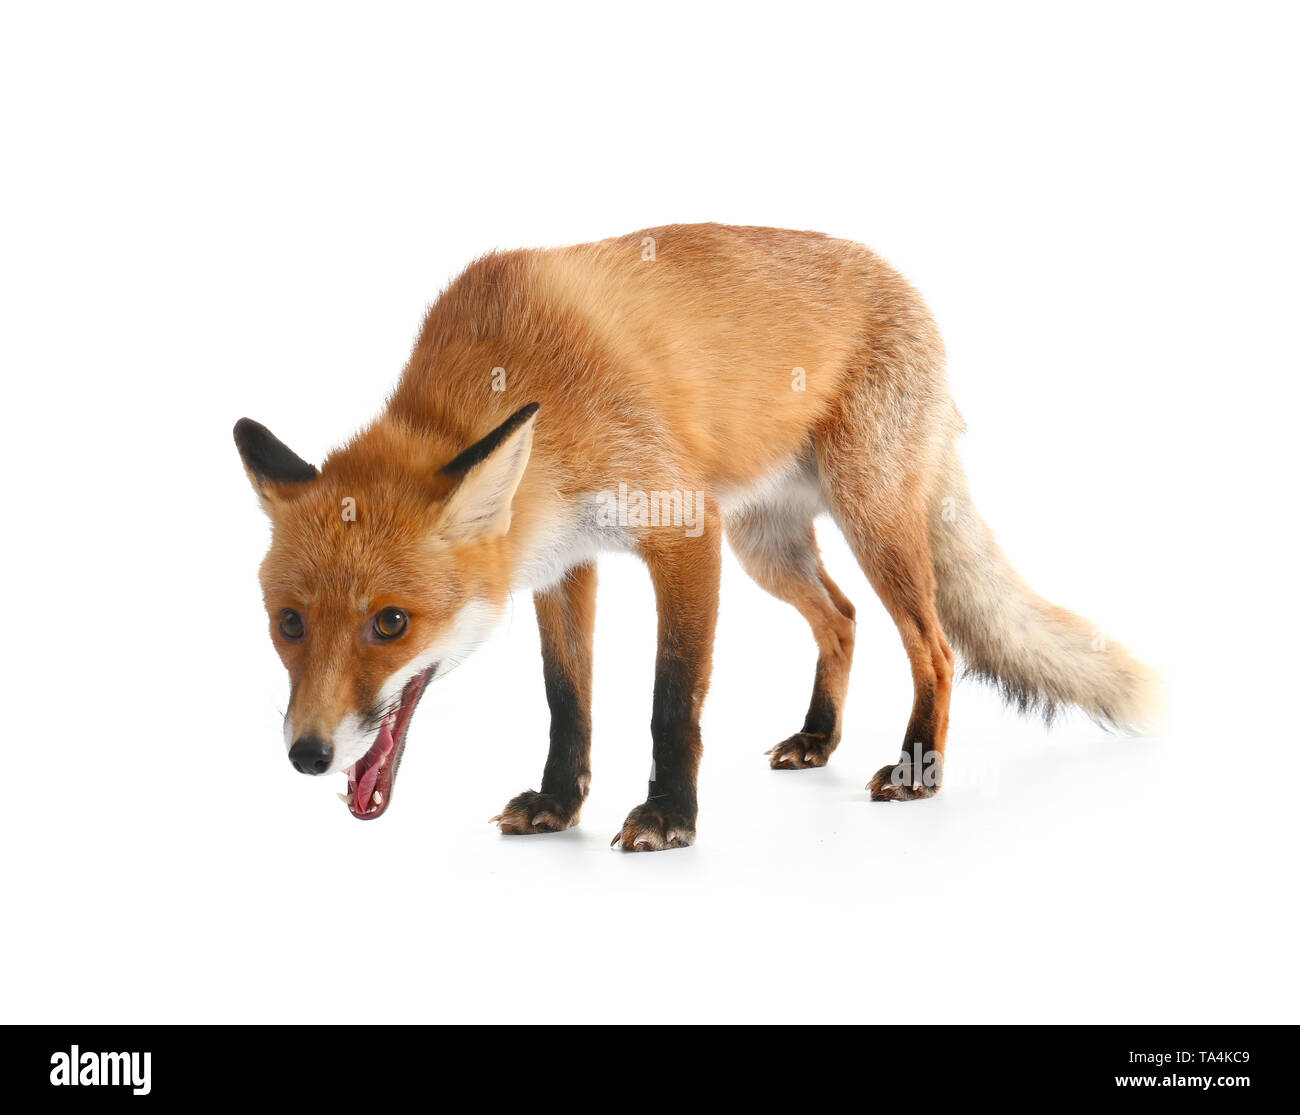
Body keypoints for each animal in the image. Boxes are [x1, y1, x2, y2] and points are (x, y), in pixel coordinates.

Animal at [235, 223, 1160, 850]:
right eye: (289, 624)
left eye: (390, 622)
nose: (307, 755)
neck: (527, 375)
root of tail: (904, 283)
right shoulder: (563, 562)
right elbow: (567, 700)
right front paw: (559, 803)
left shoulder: (684, 531)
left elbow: (671, 699)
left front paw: (669, 816)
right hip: (769, 548)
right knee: (843, 618)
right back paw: (819, 736)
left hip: (868, 523)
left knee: (933, 647)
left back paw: (916, 768)